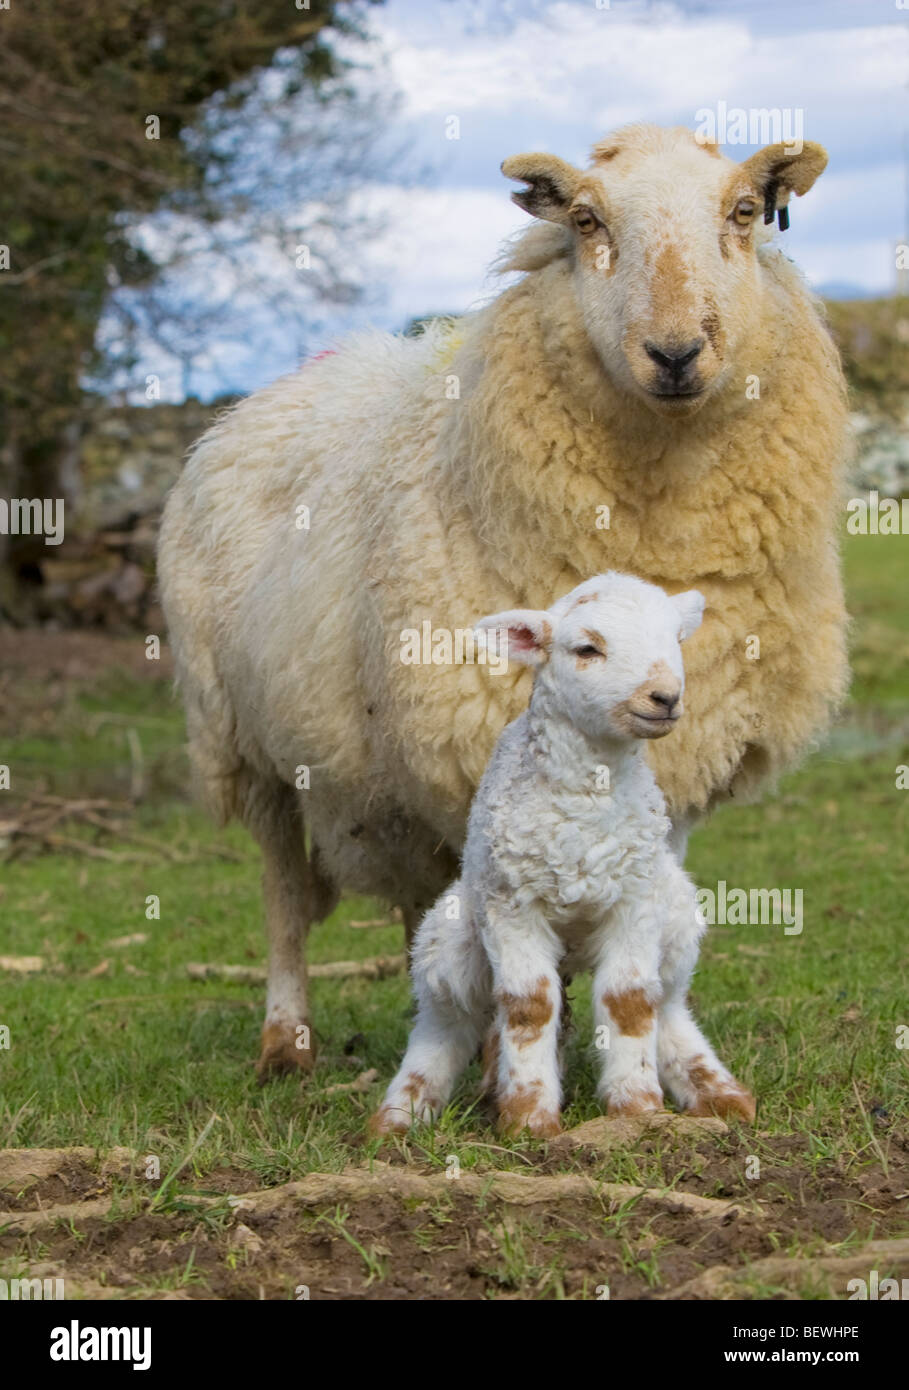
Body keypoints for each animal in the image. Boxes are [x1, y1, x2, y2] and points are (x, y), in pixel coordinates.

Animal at [370, 572, 755, 1138]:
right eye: (587, 649)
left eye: (674, 641)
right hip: (450, 933)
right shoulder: (511, 903)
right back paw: (401, 1114)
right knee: (445, 1020)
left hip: (677, 913)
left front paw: (638, 1112)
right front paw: (529, 1118)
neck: (586, 802)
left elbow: (630, 1002)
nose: (664, 697)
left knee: (668, 1003)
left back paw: (718, 1092)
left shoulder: (636, 900)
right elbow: (528, 1006)